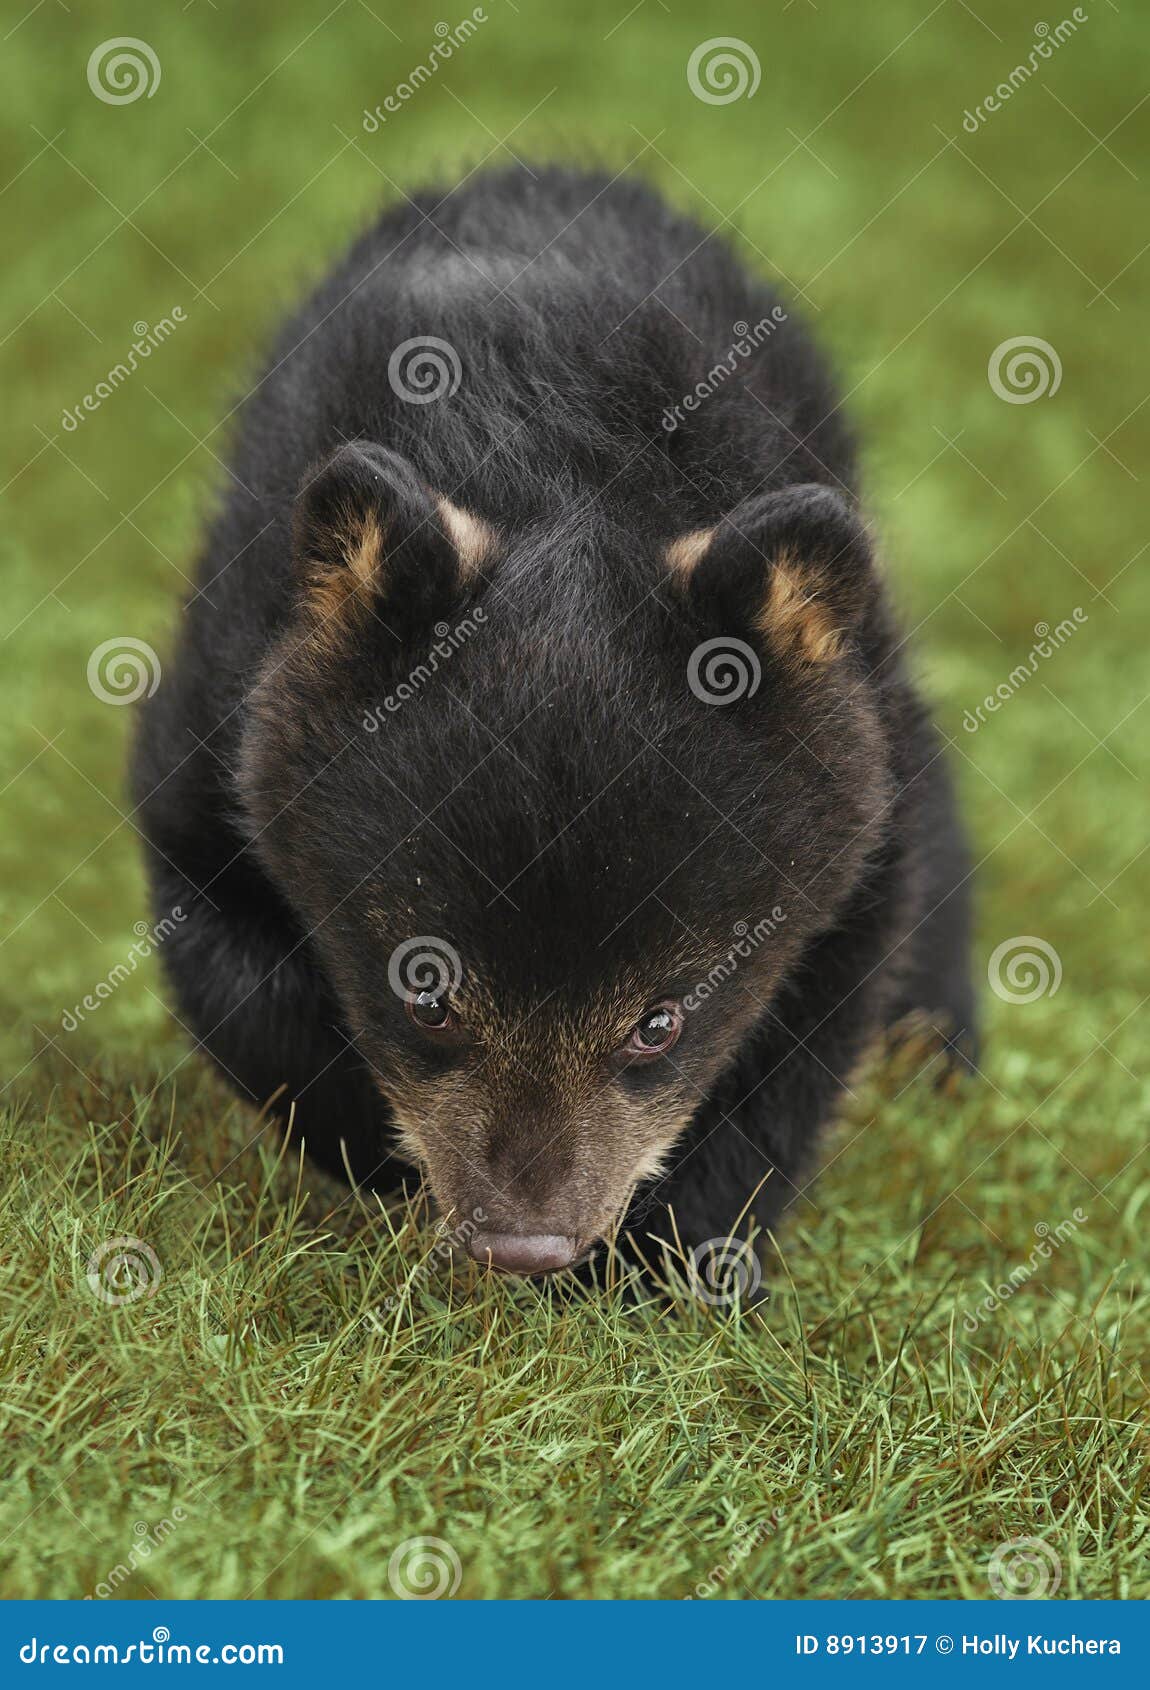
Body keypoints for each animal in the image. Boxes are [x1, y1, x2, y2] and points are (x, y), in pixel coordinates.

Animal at [132, 165, 976, 1286]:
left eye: (659, 1021)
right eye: (427, 995)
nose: (525, 1244)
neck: (550, 463)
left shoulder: (851, 785)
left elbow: (817, 995)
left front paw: (674, 1272)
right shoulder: (228, 700)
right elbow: (225, 946)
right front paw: (381, 1163)